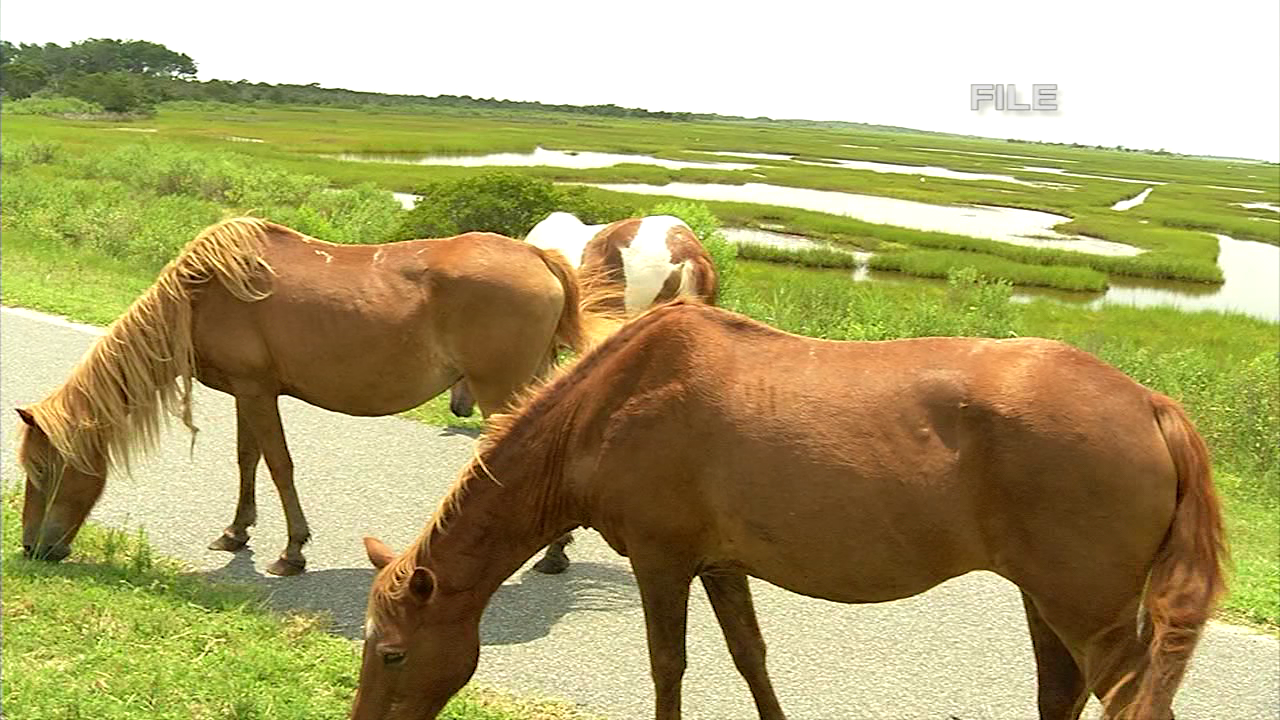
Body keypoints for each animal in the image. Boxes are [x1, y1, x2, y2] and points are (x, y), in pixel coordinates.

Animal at [14, 217, 622, 576]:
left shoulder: (259, 391)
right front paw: (236, 532)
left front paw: (292, 551)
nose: (31, 547)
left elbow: (278, 464)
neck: (201, 295)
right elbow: (248, 459)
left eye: (43, 472)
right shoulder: (247, 392)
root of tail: (539, 258)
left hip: (503, 391)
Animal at [353, 299, 1227, 720]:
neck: (609, 404)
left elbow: (668, 667)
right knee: (1061, 695)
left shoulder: (663, 563)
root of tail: (1150, 405)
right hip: (1049, 605)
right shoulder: (720, 564)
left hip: (1088, 614)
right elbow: (751, 659)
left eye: (391, 655)